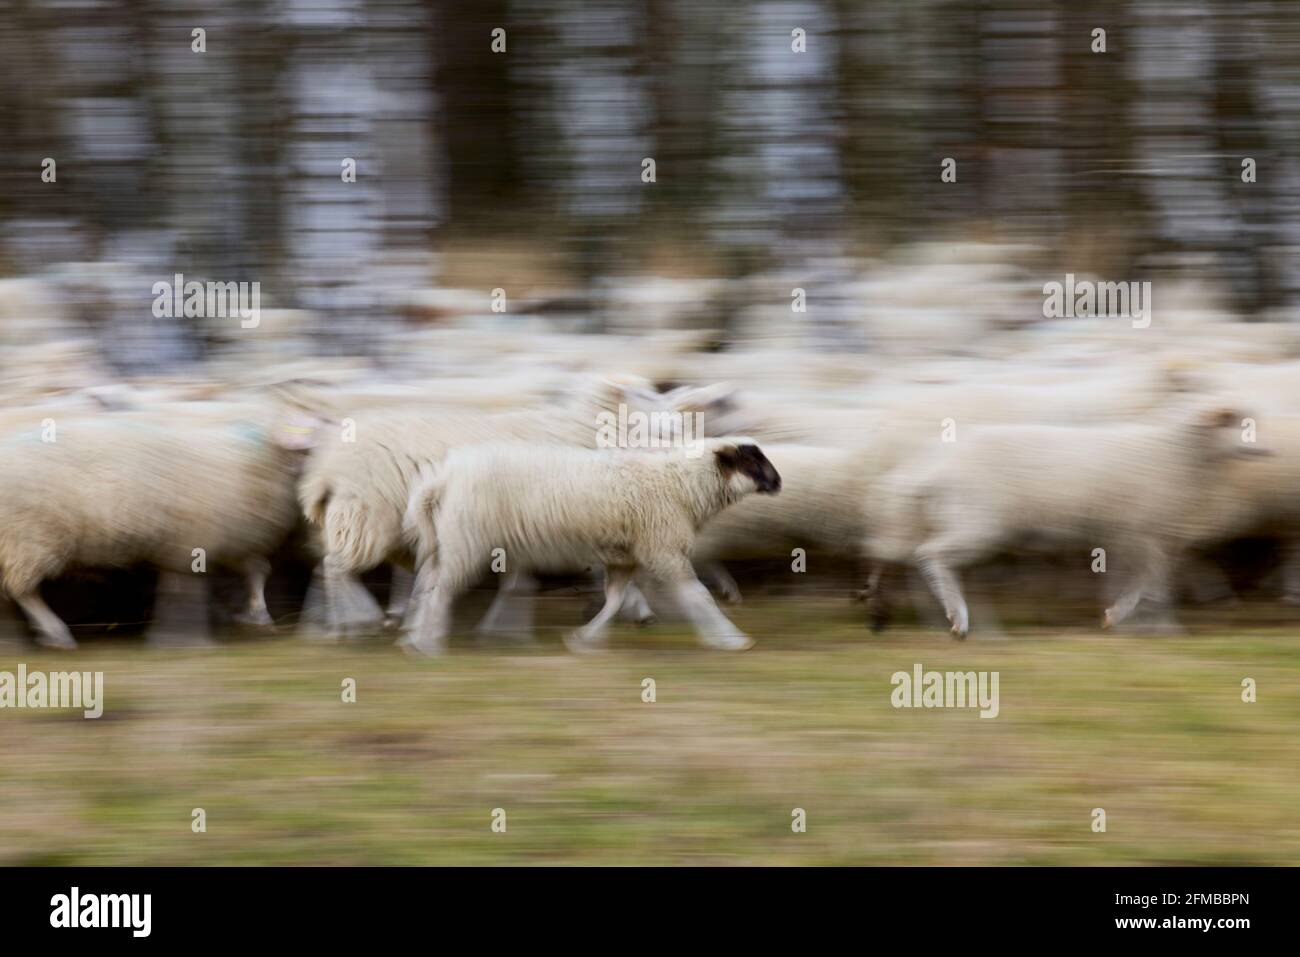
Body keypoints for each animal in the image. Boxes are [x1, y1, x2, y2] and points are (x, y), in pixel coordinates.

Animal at [0, 397, 319, 648]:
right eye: (306, 446)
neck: (250, 456)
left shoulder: (236, 537)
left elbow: (257, 570)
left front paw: (256, 616)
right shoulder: (200, 537)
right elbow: (192, 582)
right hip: (30, 538)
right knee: (24, 590)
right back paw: (56, 633)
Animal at [400, 437, 781, 655]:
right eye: (752, 461)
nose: (778, 482)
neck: (680, 486)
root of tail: (442, 478)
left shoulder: (627, 558)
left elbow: (614, 601)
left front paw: (584, 639)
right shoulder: (664, 551)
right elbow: (698, 596)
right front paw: (730, 639)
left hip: (447, 542)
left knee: (427, 585)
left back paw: (414, 636)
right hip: (466, 542)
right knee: (439, 592)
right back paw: (428, 645)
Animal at [863, 403, 1268, 637]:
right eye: (1239, 423)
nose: (1269, 449)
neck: (1177, 455)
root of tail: (933, 467)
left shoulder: (1138, 533)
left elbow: (1147, 581)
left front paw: (1122, 618)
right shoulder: (1144, 531)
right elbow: (1153, 582)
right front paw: (1147, 622)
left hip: (945, 518)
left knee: (912, 559)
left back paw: (910, 614)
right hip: (976, 522)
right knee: (930, 555)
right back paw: (958, 619)